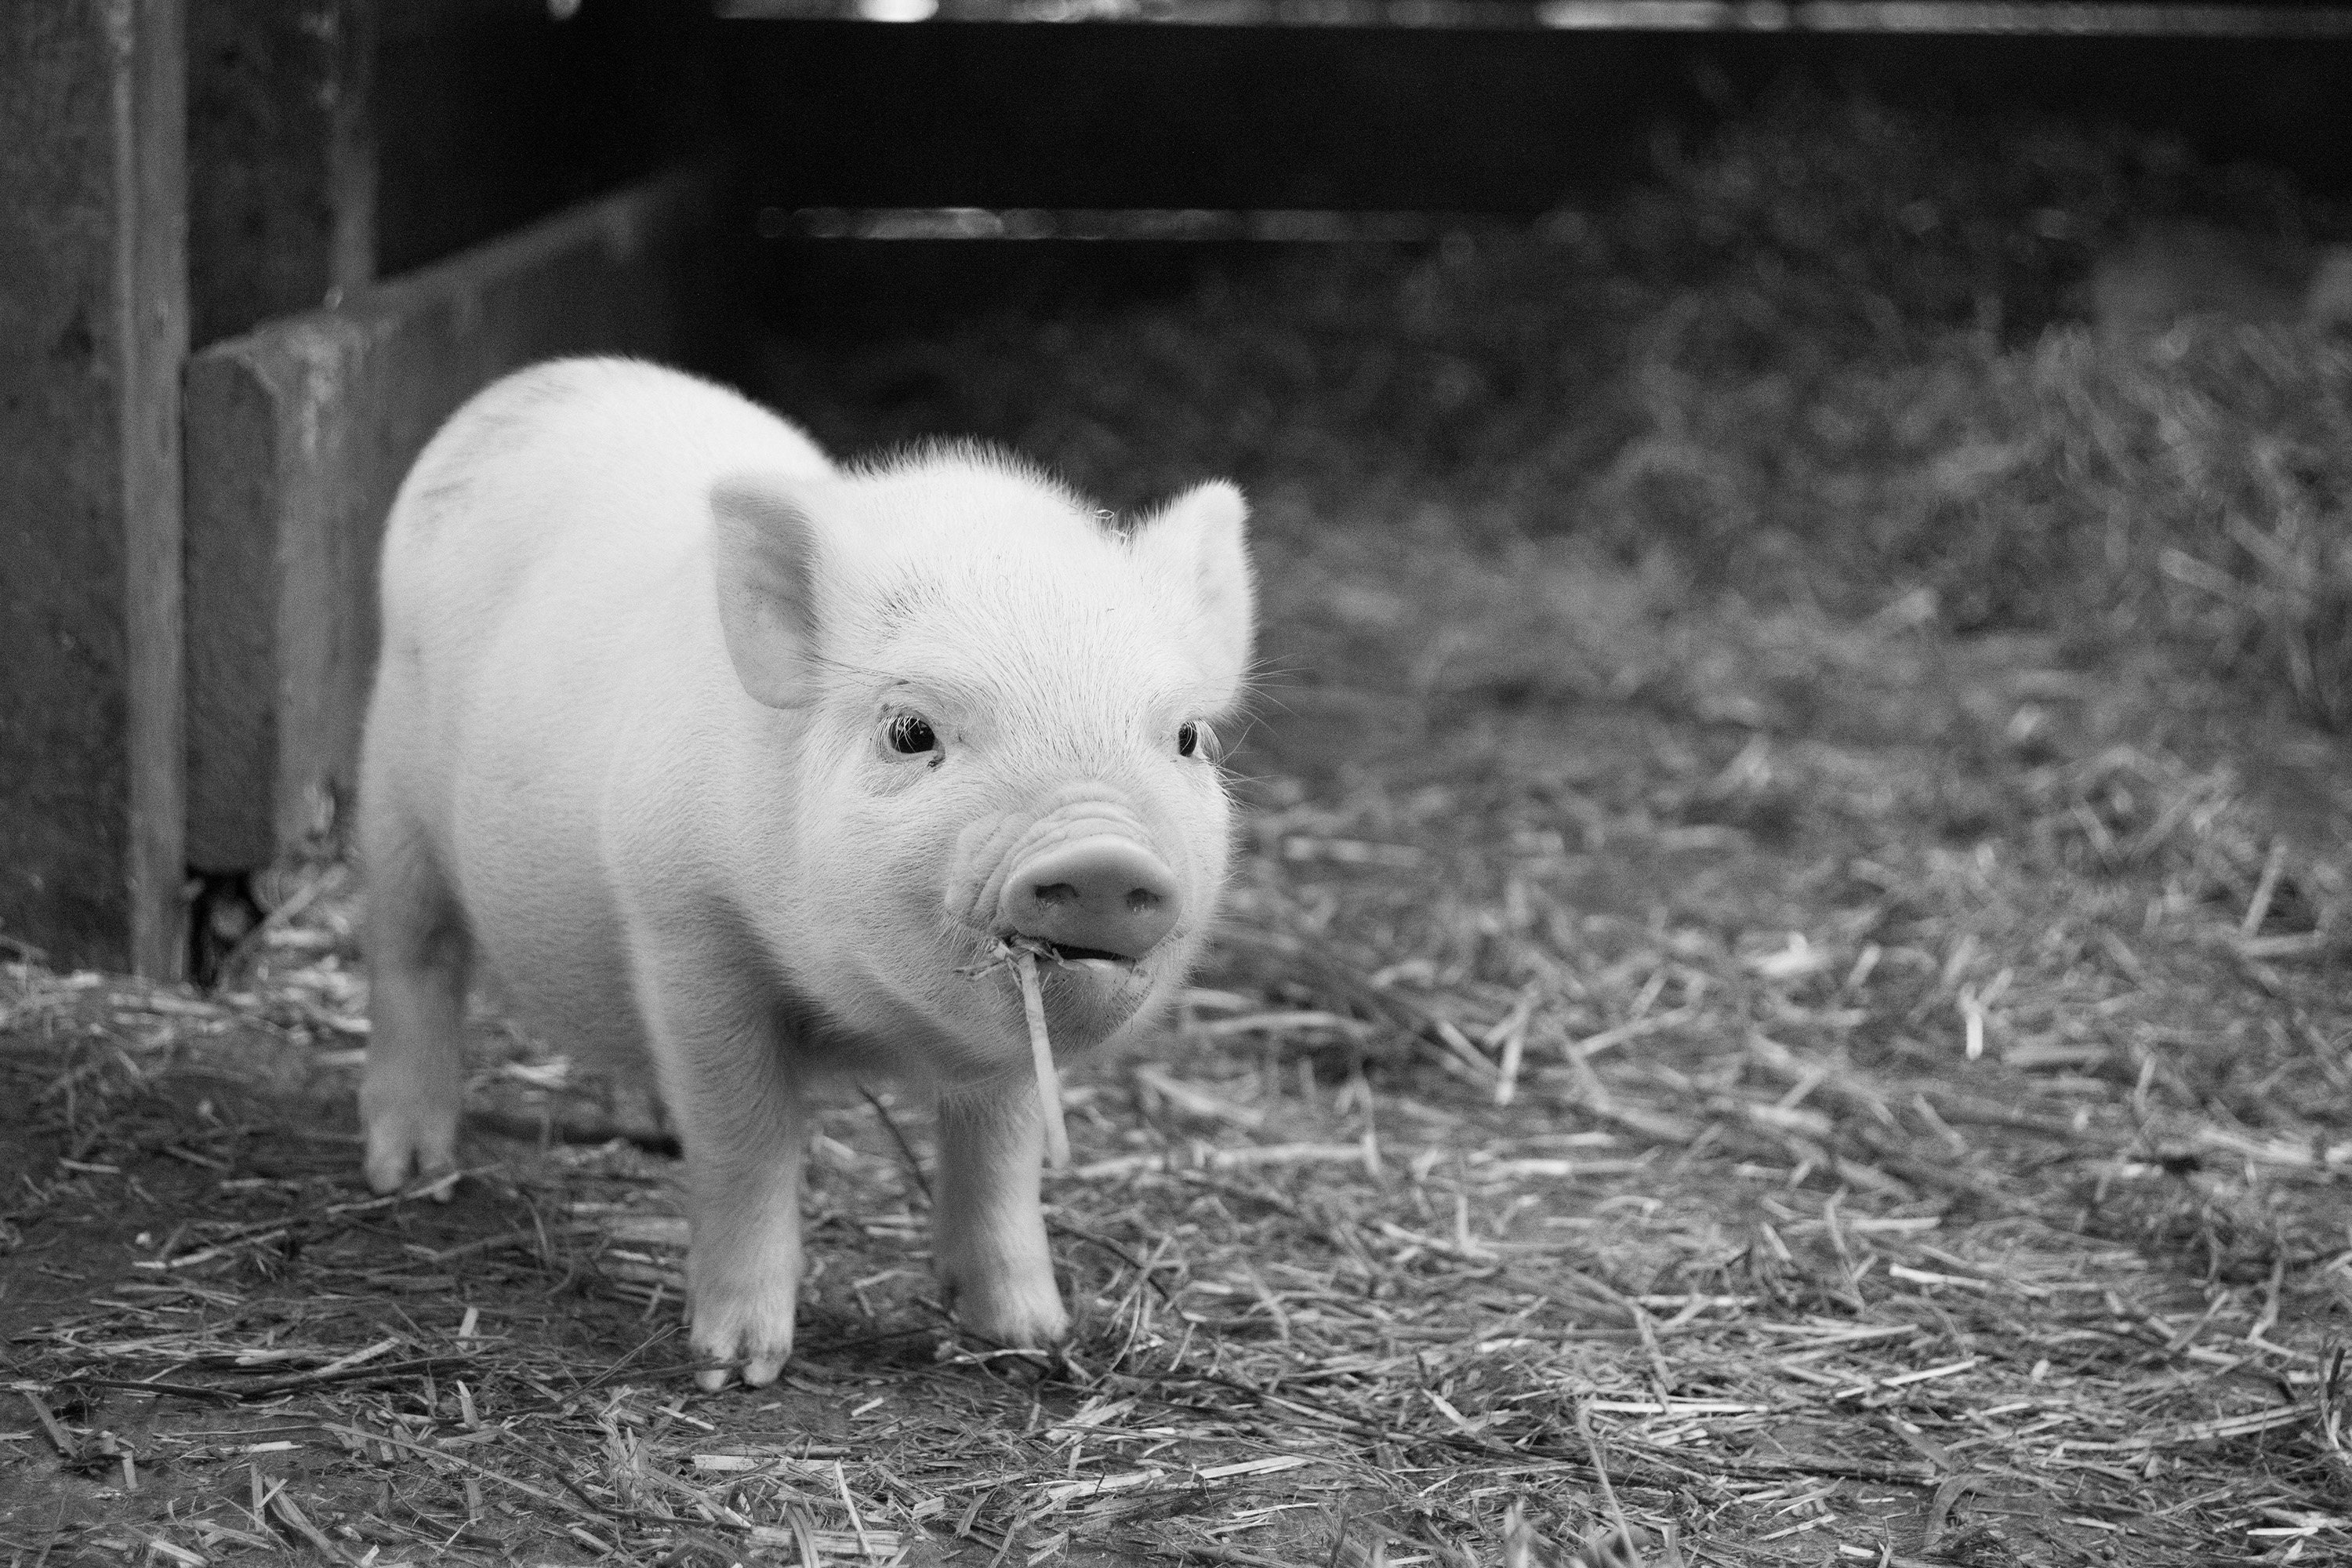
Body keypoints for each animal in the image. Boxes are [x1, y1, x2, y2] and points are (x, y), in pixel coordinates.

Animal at [356, 357, 1253, 1388]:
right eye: (910, 730)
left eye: (1187, 737)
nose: (1101, 853)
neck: (870, 1023)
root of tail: (539, 379)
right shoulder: (684, 921)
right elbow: (746, 1140)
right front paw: (737, 1365)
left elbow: (1000, 1155)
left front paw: (1034, 1336)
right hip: (391, 792)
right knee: (413, 956)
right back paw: (407, 1171)